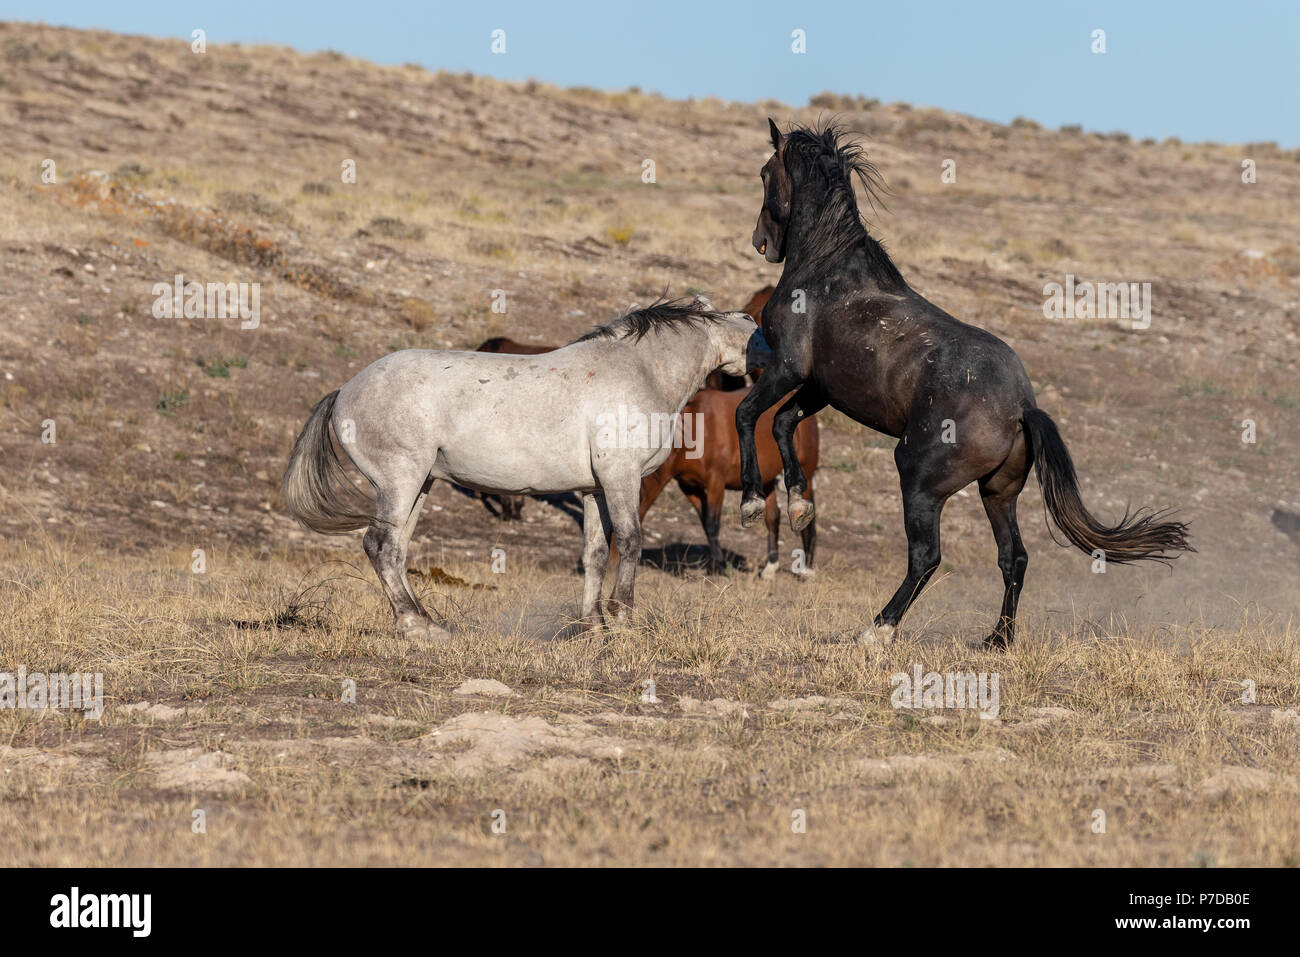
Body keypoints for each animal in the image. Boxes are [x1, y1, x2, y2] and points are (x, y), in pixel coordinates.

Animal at [284, 299, 766, 640]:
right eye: (753, 323)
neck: (640, 371)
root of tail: (346, 389)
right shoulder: (621, 478)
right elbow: (630, 543)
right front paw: (623, 619)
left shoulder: (595, 490)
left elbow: (595, 553)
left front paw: (593, 626)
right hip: (401, 480)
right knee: (380, 546)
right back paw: (418, 627)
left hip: (418, 485)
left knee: (396, 550)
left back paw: (426, 622)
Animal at [738, 119, 1192, 648]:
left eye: (765, 172)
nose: (761, 242)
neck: (826, 268)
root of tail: (1021, 406)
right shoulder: (820, 387)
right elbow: (783, 424)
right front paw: (799, 506)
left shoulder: (788, 369)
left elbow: (748, 415)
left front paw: (751, 504)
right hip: (997, 493)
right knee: (1013, 557)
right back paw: (998, 640)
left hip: (918, 481)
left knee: (926, 557)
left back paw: (878, 630)